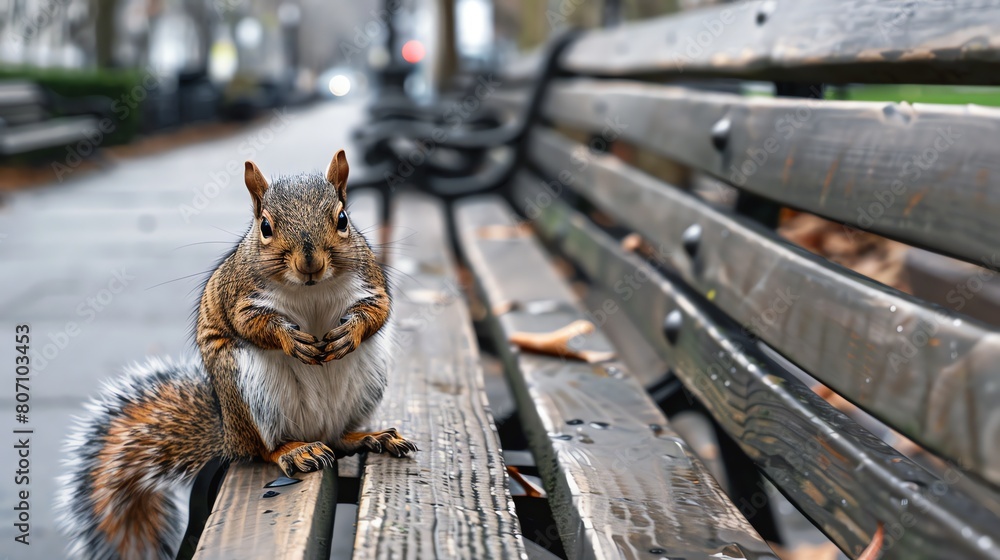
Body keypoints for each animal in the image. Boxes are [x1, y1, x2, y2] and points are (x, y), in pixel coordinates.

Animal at [56, 150, 416, 560]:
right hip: (246, 388)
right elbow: (252, 324)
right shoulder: (240, 296)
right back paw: (295, 451)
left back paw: (371, 437)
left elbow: (378, 311)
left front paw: (349, 333)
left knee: (340, 440)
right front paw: (291, 340)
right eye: (265, 227)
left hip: (368, 381)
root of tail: (229, 436)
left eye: (342, 220)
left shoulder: (370, 281)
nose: (310, 263)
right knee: (263, 450)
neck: (310, 290)